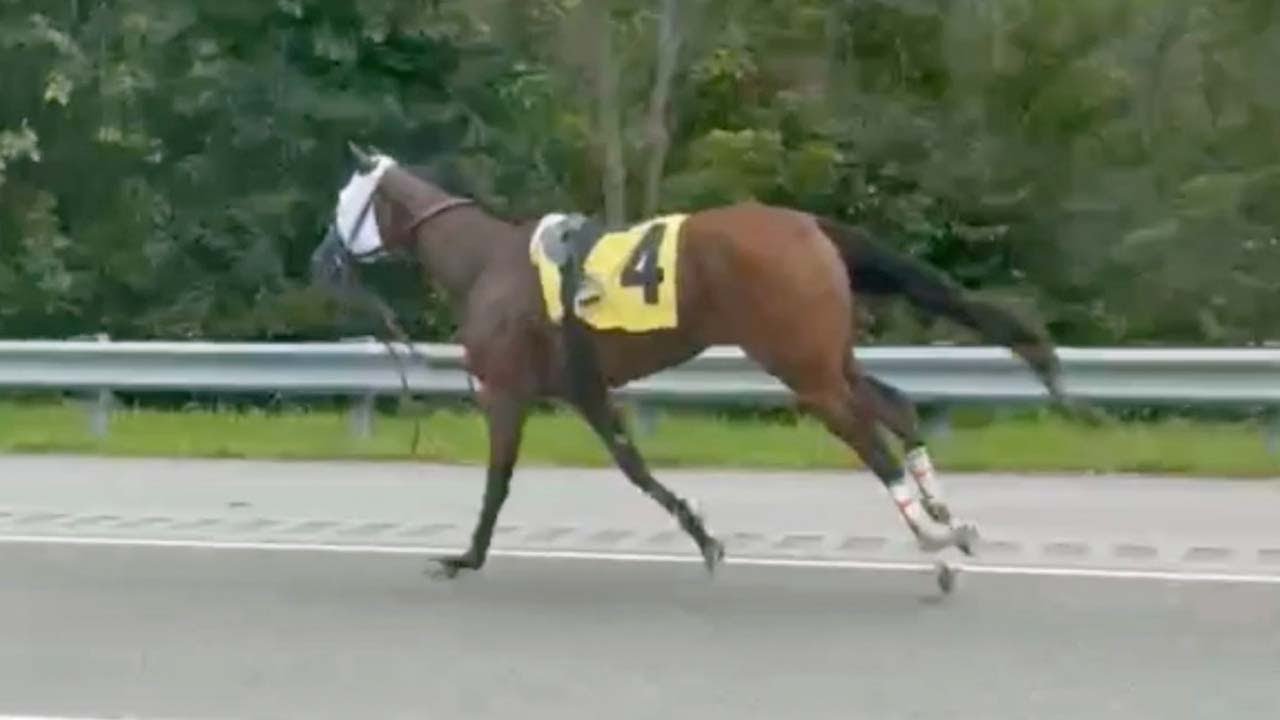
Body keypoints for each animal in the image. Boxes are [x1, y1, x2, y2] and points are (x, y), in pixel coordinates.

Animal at [310, 142, 1075, 580]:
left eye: (345, 200)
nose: (323, 258)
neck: (485, 263)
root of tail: (808, 225)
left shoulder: (506, 389)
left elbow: (500, 480)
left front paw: (465, 557)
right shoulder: (582, 389)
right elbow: (633, 465)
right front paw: (704, 537)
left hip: (801, 367)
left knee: (867, 437)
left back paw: (932, 539)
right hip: (828, 356)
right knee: (897, 407)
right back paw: (948, 518)